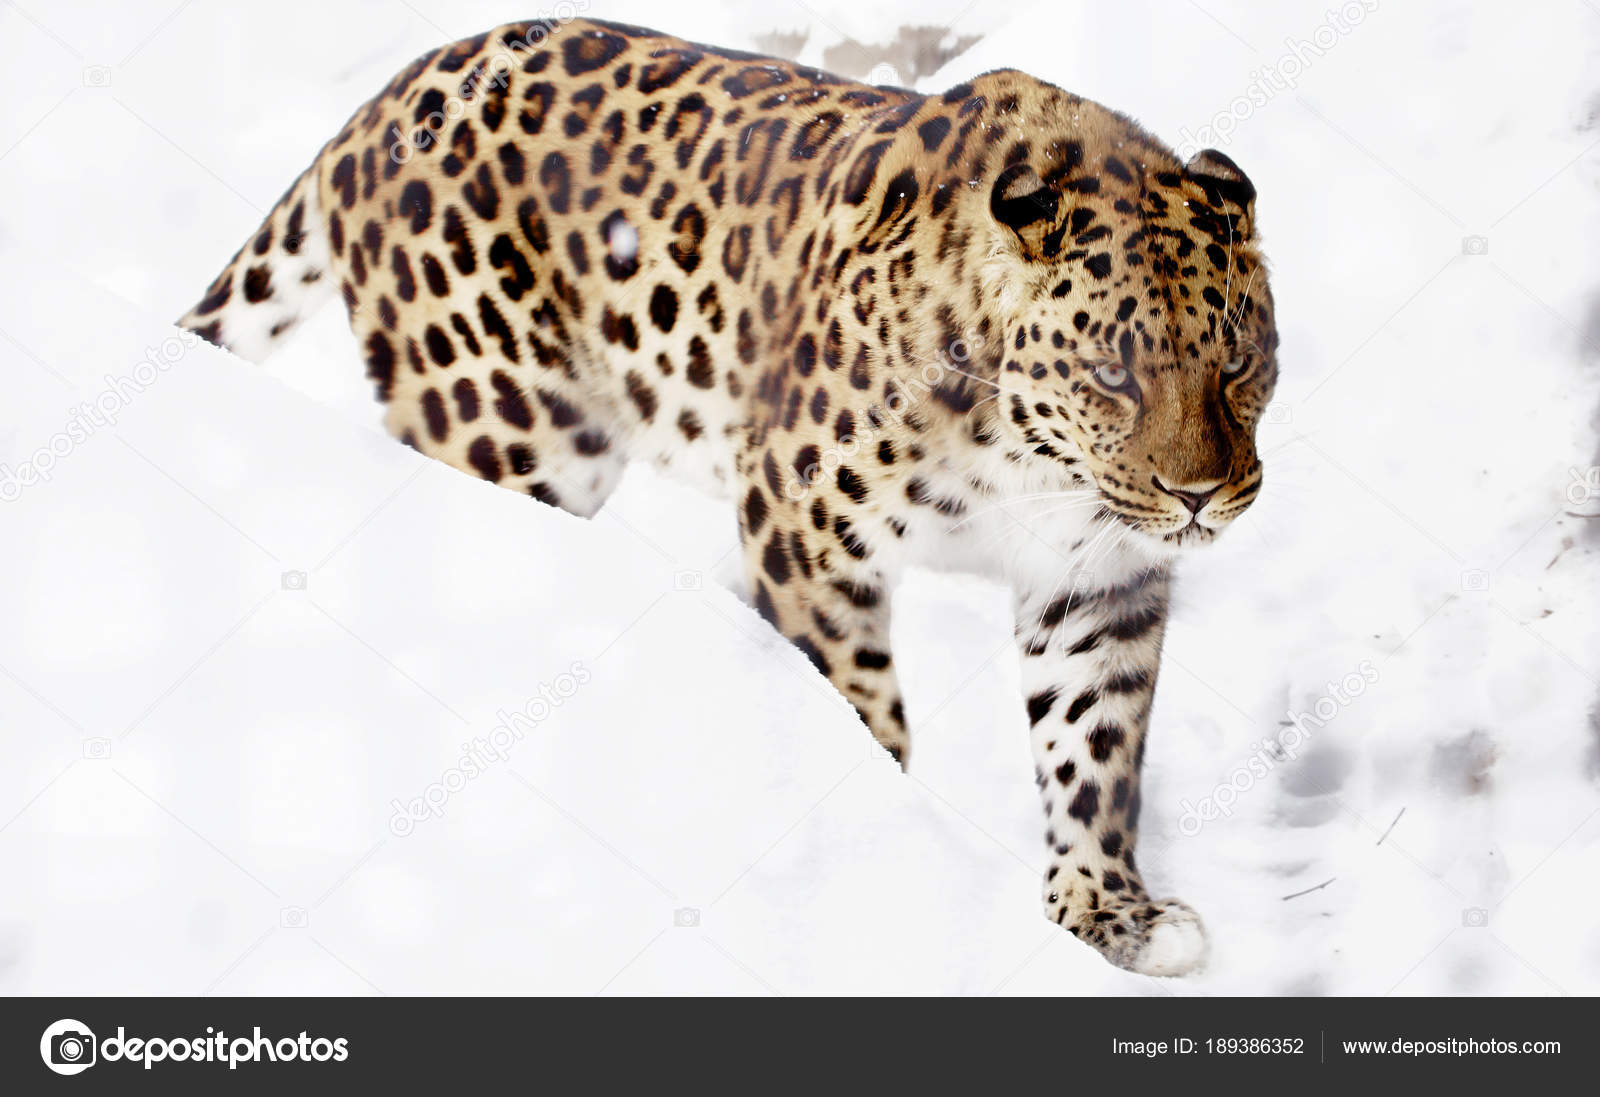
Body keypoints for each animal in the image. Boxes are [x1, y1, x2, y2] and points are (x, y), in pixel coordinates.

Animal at [179, 17, 1279, 977]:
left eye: (1236, 363)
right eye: (1113, 375)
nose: (1197, 496)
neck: (1031, 458)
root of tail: (391, 95)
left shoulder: (1097, 573)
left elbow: (1094, 746)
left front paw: (1108, 913)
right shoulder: (808, 526)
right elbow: (853, 705)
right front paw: (881, 862)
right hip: (502, 426)